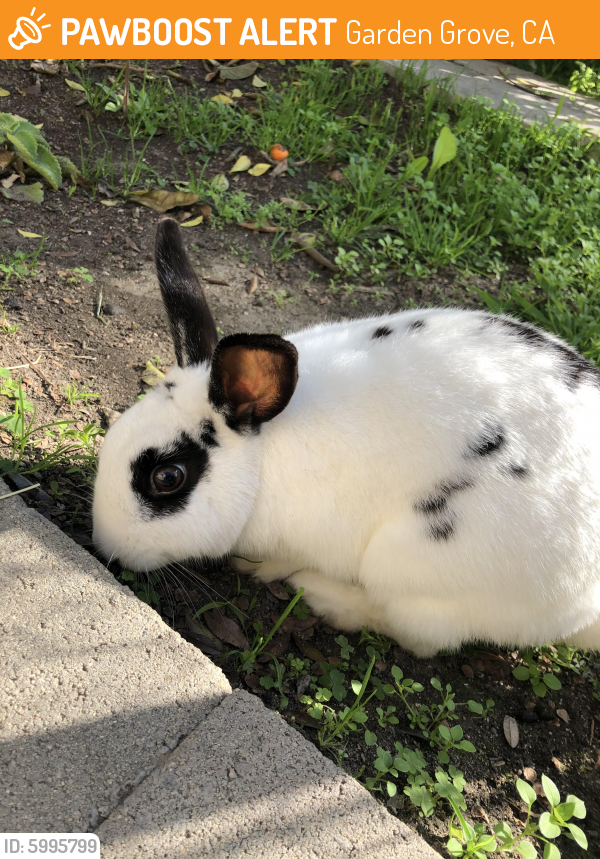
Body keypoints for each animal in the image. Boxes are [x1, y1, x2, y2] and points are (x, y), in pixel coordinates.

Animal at [93, 218, 600, 658]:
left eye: (168, 477)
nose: (104, 545)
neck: (264, 455)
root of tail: (585, 606)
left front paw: (261, 569)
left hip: (415, 568)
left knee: (418, 636)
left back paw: (324, 596)